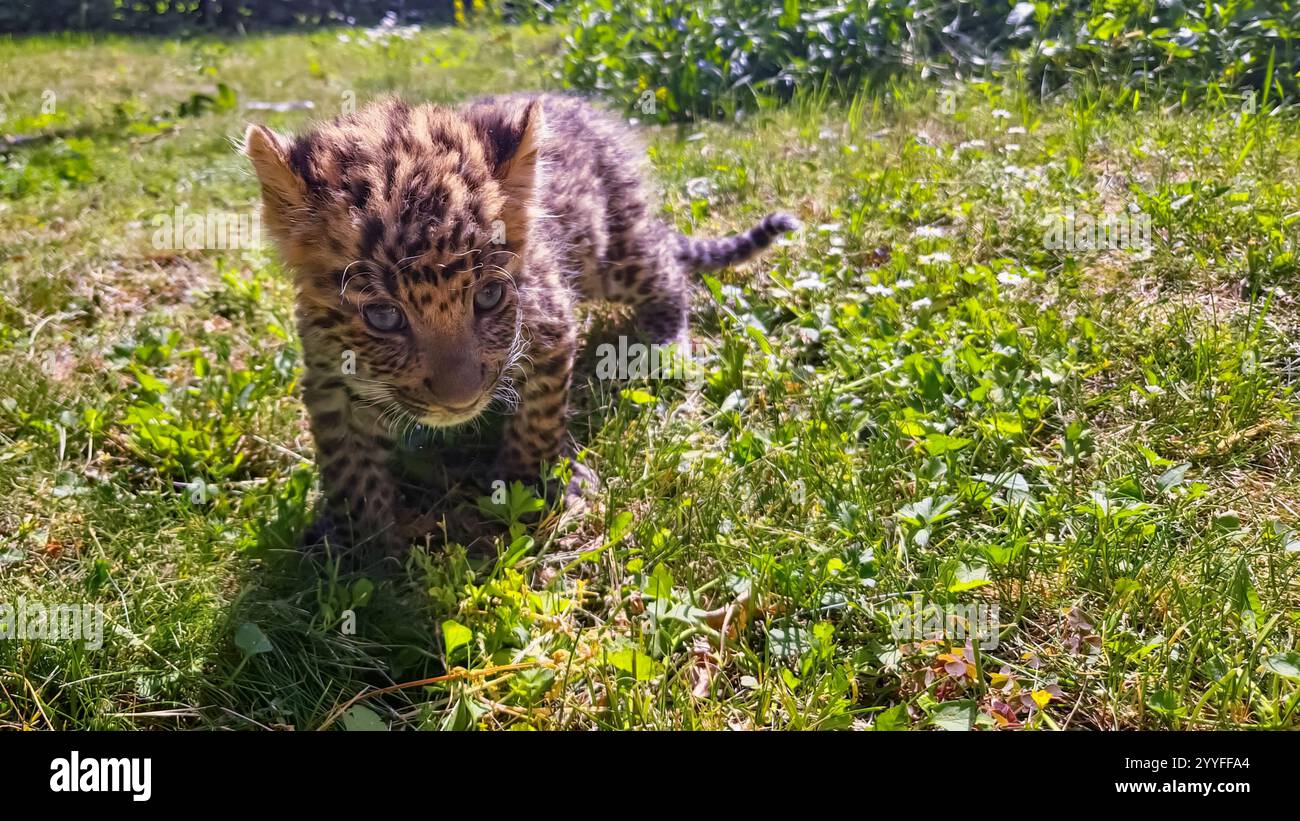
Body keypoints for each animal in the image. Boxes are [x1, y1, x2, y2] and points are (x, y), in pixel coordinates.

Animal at [244, 92, 798, 559]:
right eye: (382, 316)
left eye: (489, 297)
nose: (461, 401)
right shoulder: (329, 376)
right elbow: (348, 462)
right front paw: (358, 549)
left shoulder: (551, 325)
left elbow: (539, 418)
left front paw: (526, 482)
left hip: (616, 254)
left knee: (664, 268)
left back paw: (665, 344)